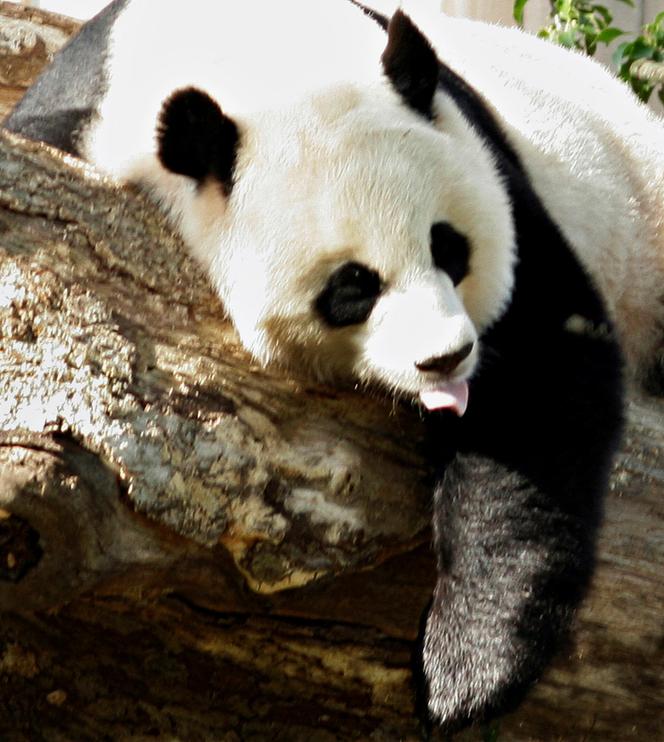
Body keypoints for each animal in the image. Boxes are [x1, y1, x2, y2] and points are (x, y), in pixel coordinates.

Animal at [4, 0, 627, 732]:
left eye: (448, 246)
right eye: (353, 285)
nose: (446, 357)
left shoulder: (489, 161)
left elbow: (546, 359)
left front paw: (467, 668)